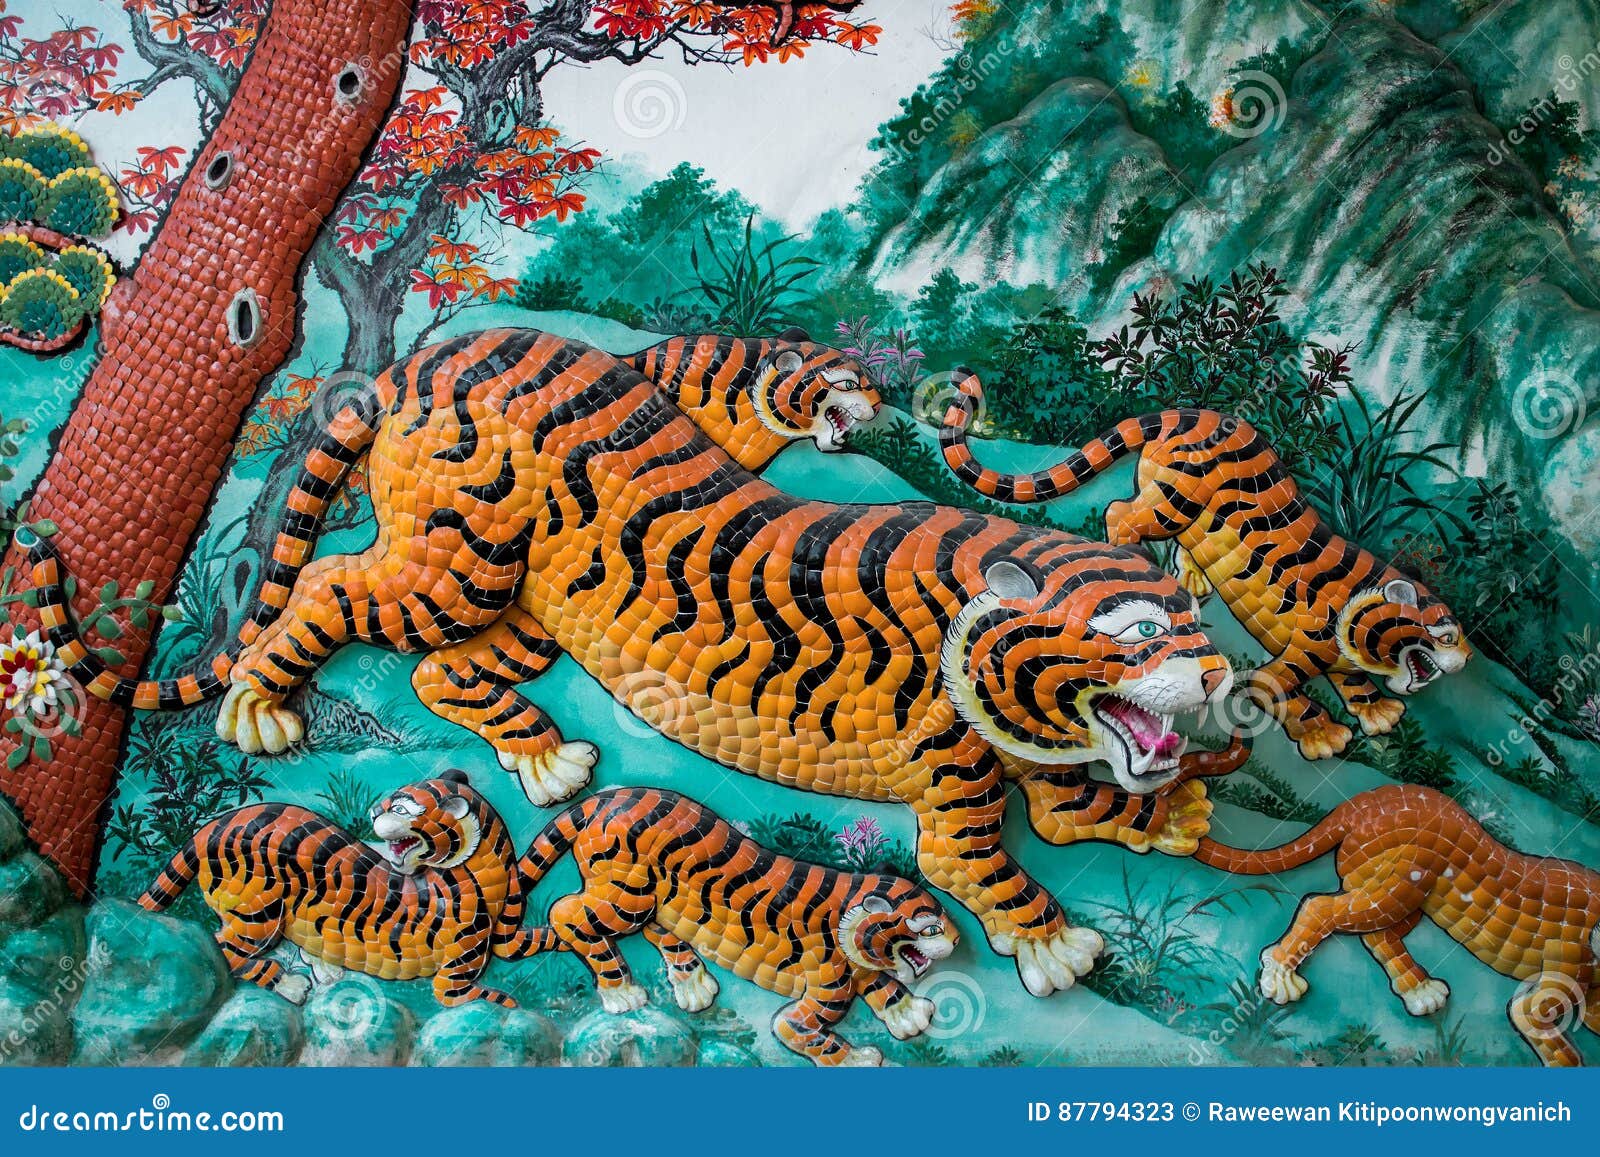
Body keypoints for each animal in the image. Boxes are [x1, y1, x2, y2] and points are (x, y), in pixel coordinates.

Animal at [137, 770, 526, 1008]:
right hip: (258, 913)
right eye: (388, 805)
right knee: (223, 949)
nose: (373, 813)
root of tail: (211, 827)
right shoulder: (452, 982)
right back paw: (292, 986)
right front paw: (511, 1002)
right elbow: (492, 999)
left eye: (401, 809)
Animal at [498, 785, 956, 1066]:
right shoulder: (810, 1005)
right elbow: (812, 1036)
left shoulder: (861, 969)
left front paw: (911, 1015)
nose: (955, 940)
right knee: (566, 914)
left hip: (656, 899)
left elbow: (885, 985)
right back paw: (621, 992)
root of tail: (608, 798)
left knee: (655, 931)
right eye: (929, 928)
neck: (850, 920)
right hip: (626, 896)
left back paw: (693, 984)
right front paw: (860, 1058)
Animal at [938, 379, 1470, 760]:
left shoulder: (1340, 659)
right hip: (1175, 500)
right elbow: (1280, 691)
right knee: (1120, 512)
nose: (1466, 661)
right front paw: (1323, 735)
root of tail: (1192, 412)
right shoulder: (1287, 663)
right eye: (1446, 635)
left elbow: (1354, 682)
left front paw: (1378, 712)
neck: (1362, 599)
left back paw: (1190, 576)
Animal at [1195, 784, 1600, 1067]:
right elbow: (1534, 1019)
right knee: (1320, 907)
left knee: (1377, 936)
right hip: (1399, 886)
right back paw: (1279, 977)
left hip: (1406, 899)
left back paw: (1420, 991)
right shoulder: (1564, 970)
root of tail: (1370, 800)